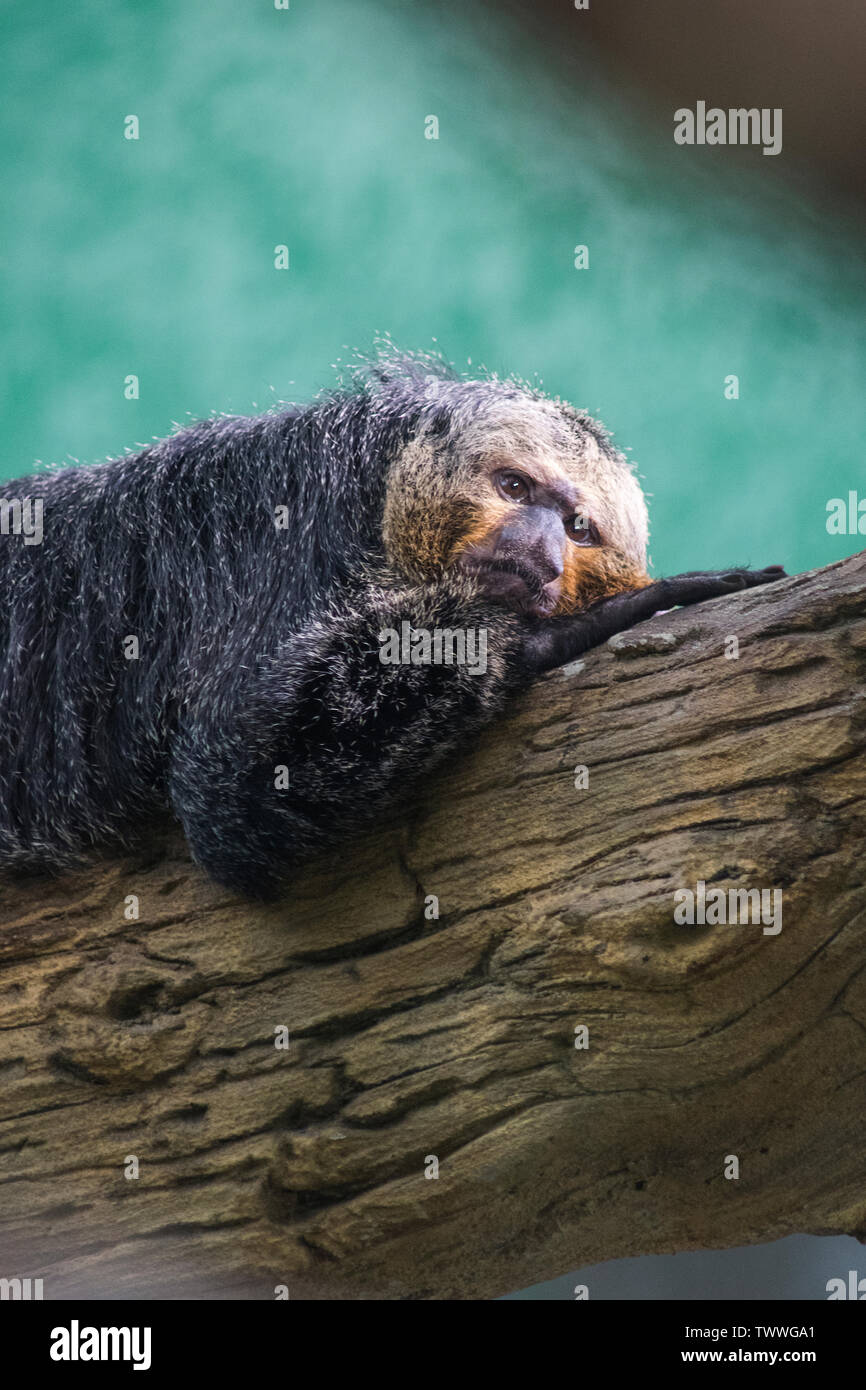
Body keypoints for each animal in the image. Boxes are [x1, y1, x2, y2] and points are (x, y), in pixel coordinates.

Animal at [0, 350, 785, 899]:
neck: (373, 513)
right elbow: (232, 799)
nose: (539, 548)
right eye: (514, 487)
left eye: (578, 529)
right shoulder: (287, 542)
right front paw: (549, 634)